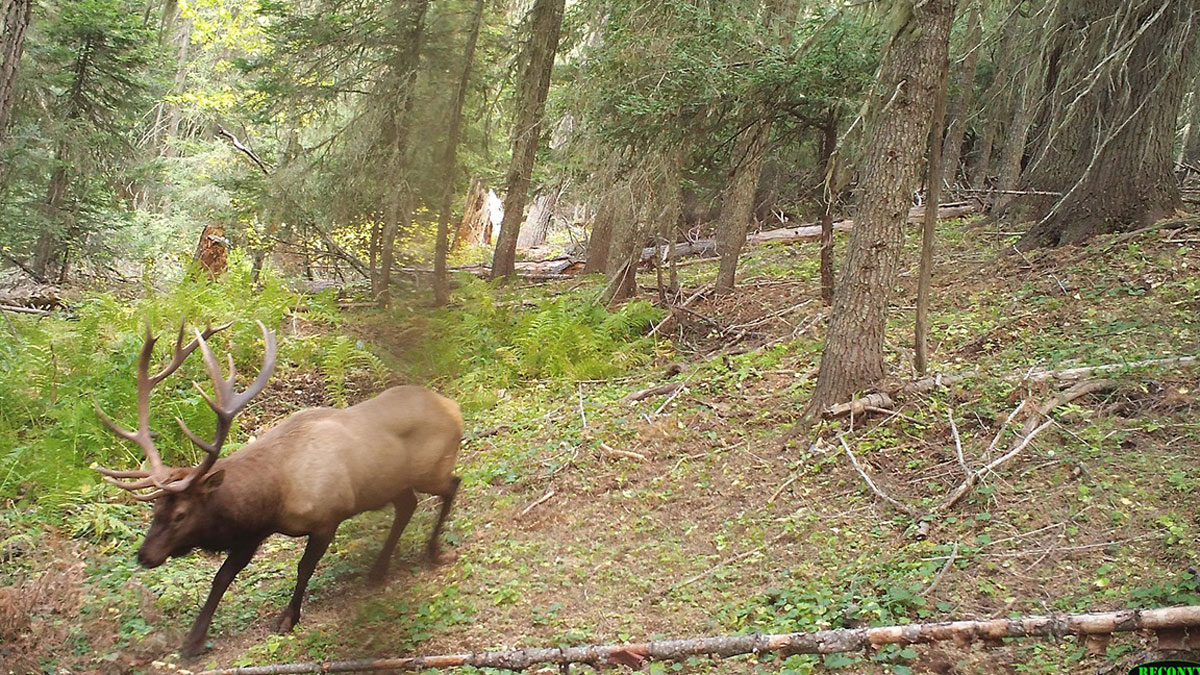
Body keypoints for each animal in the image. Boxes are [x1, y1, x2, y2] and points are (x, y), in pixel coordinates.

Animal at [93, 320, 462, 658]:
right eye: (155, 509)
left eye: (181, 514)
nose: (144, 555)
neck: (276, 496)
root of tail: (453, 407)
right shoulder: (254, 531)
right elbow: (222, 577)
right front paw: (193, 641)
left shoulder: (327, 518)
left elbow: (303, 568)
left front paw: (288, 618)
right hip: (392, 485)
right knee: (408, 505)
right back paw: (378, 569)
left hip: (431, 468)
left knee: (452, 485)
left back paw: (432, 551)